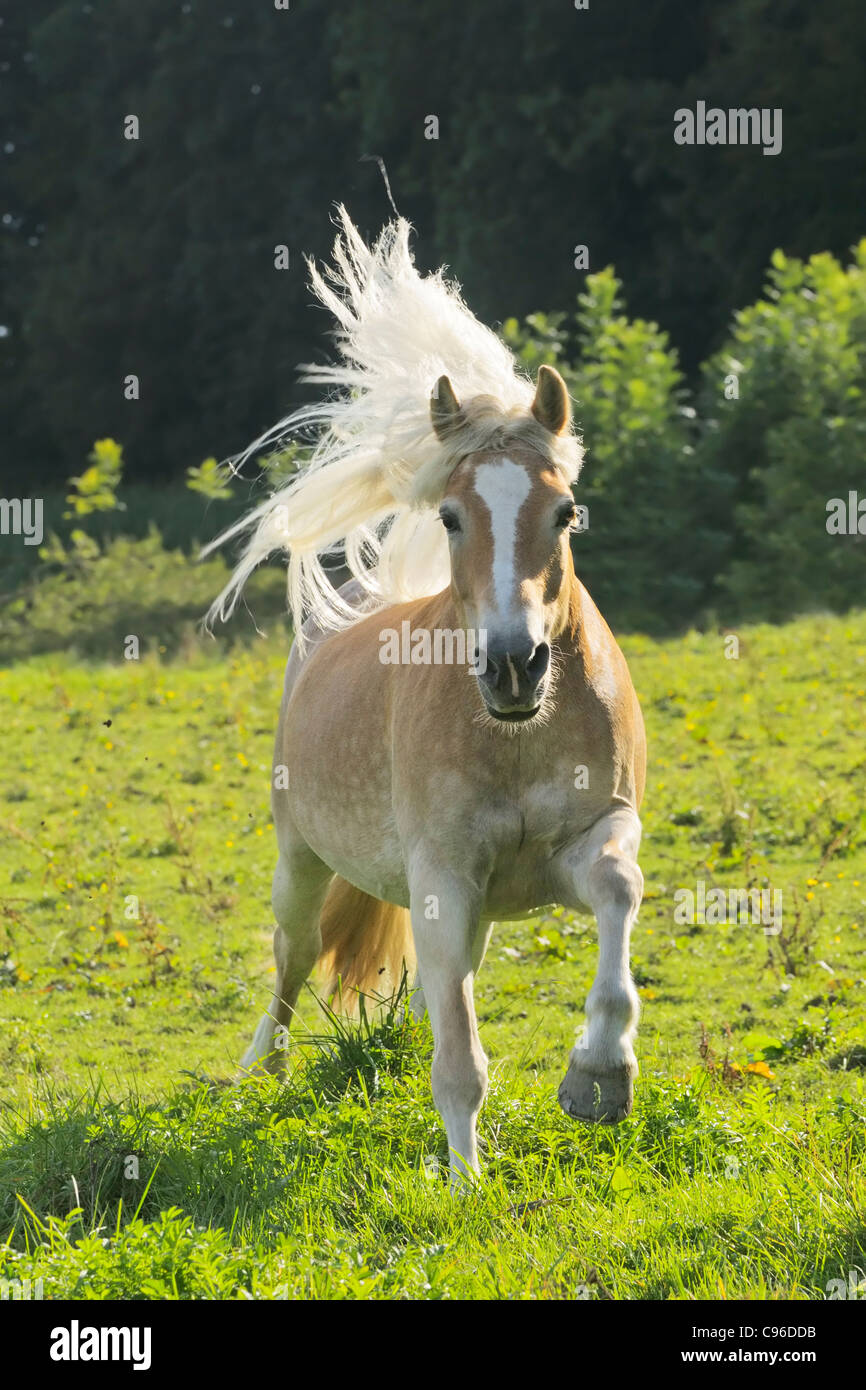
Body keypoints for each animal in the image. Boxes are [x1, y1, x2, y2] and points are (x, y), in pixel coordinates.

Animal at [205, 208, 646, 1185]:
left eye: (565, 513)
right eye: (451, 516)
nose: (515, 667)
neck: (514, 735)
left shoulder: (581, 843)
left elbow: (620, 891)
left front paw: (599, 1077)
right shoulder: (444, 879)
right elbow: (460, 1063)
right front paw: (463, 1185)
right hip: (301, 863)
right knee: (291, 962)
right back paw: (259, 1074)